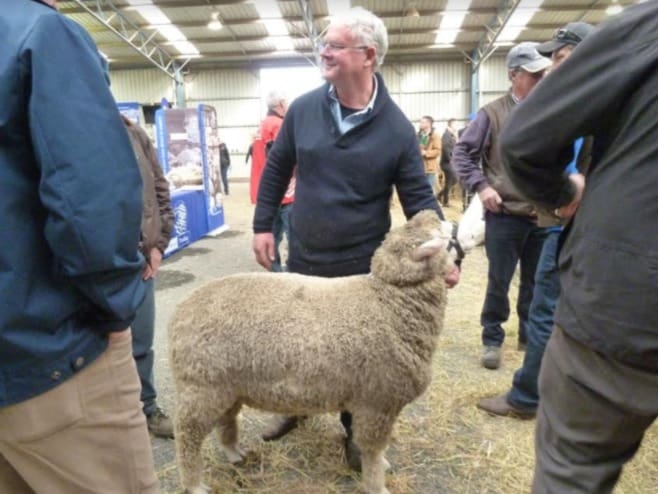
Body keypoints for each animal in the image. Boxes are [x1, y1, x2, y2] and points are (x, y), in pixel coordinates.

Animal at [168, 210, 456, 494]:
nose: (449, 221)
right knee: (186, 435)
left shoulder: (378, 404)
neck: (388, 301)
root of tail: (181, 312)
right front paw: (377, 485)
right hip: (202, 386)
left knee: (225, 419)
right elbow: (372, 451)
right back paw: (194, 484)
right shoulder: (376, 403)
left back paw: (234, 453)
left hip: (226, 386)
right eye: (443, 237)